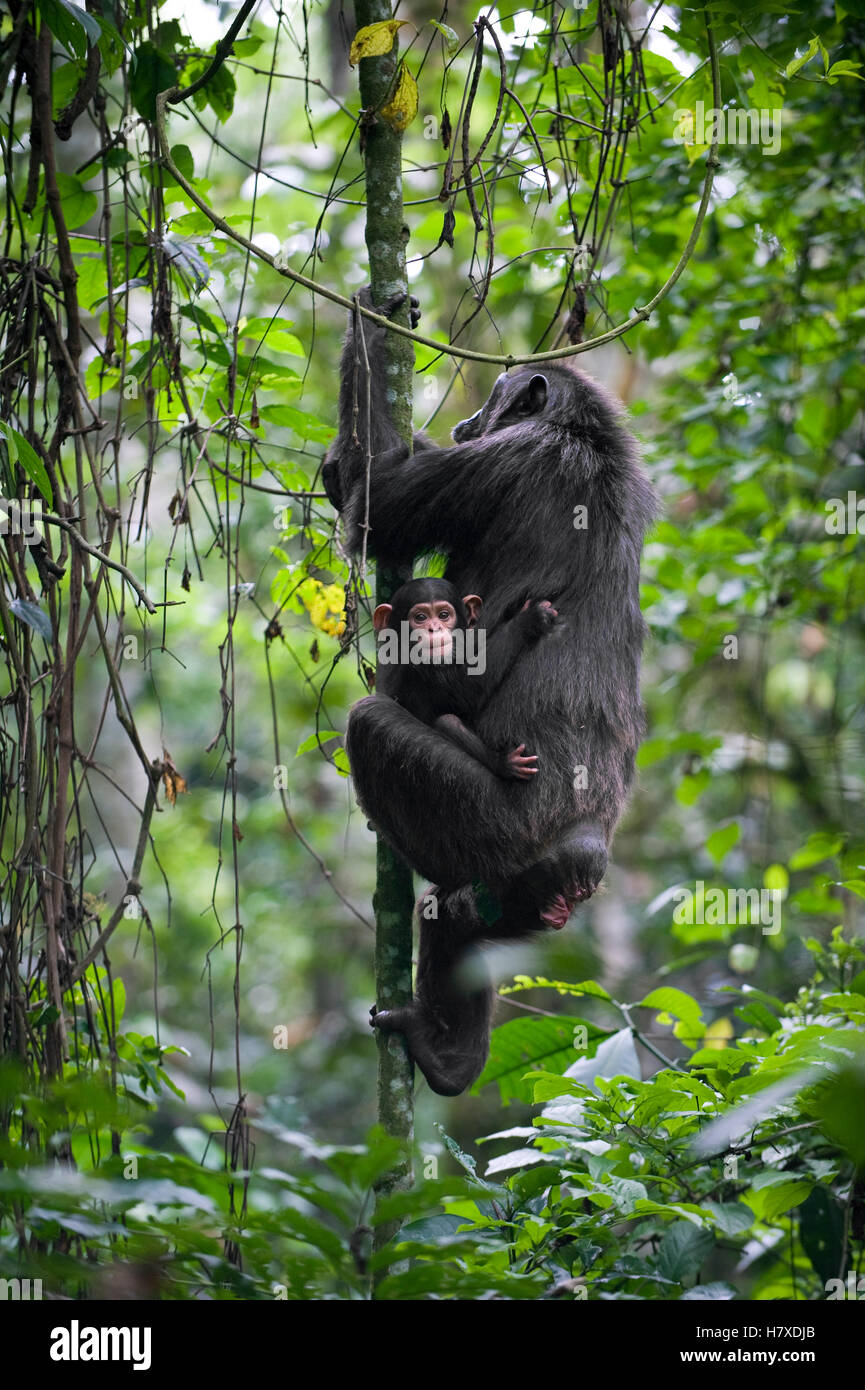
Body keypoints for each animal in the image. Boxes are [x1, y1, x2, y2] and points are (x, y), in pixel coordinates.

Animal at [323, 288, 657, 1094]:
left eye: (496, 397)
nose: (468, 418)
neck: (586, 437)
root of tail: (583, 850)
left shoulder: (506, 461)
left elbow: (376, 503)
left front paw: (372, 312)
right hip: (533, 896)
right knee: (463, 920)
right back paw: (446, 1045)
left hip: (486, 826)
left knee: (371, 727)